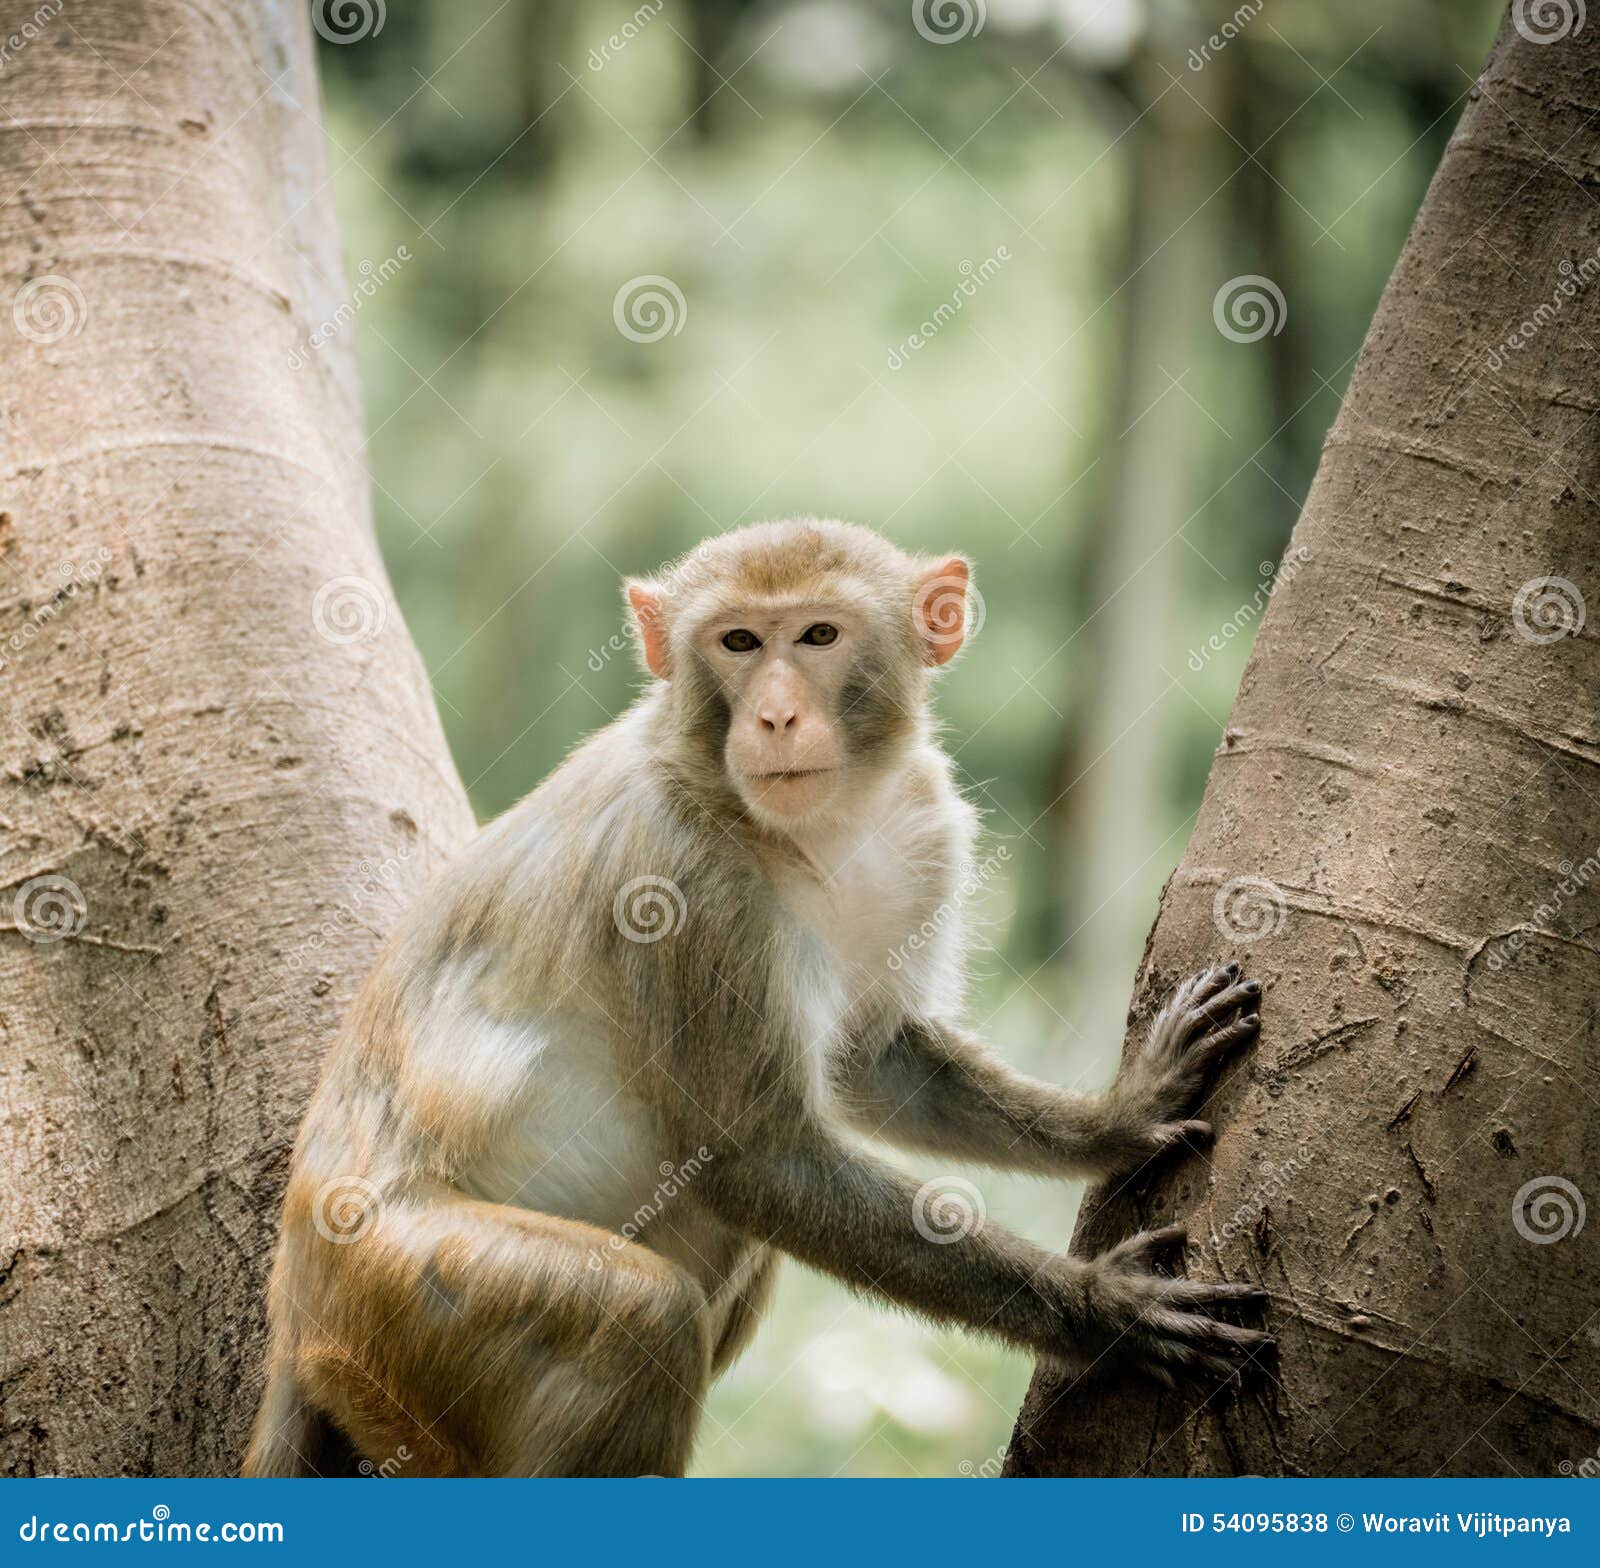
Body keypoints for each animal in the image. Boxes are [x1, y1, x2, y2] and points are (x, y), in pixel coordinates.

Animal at [243, 517, 1268, 1479]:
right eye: (737, 642)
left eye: (818, 635)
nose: (774, 715)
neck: (812, 826)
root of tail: (295, 1296)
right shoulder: (677, 879)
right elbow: (756, 1157)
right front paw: (1104, 1313)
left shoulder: (926, 828)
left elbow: (870, 1060)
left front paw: (1123, 1117)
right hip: (396, 1289)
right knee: (641, 1315)